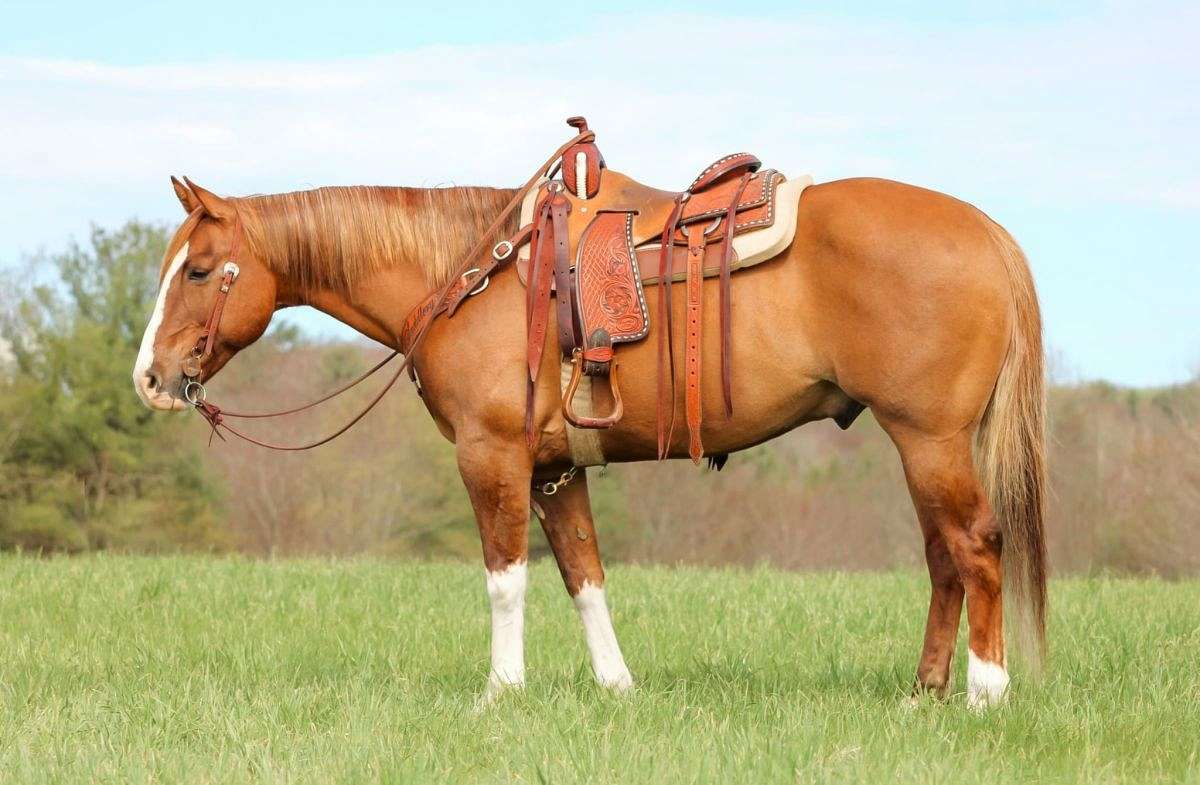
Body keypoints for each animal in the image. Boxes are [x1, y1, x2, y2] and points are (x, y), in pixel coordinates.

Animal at [132, 149, 1046, 709]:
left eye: (201, 271)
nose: (150, 376)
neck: (475, 274)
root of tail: (988, 234)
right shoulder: (554, 470)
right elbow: (585, 576)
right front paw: (616, 687)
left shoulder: (493, 457)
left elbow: (507, 578)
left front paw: (501, 691)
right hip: (921, 445)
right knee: (943, 559)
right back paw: (923, 692)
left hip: (928, 439)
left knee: (975, 546)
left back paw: (985, 692)